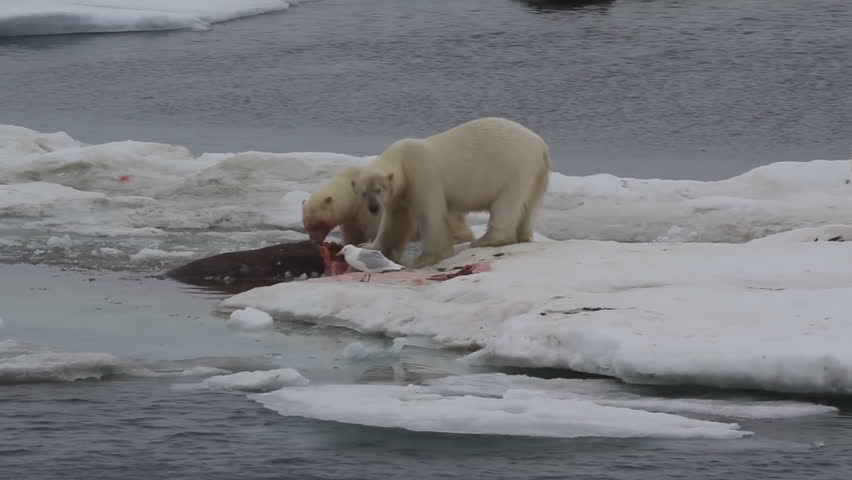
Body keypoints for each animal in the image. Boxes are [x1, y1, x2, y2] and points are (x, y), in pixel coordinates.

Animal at [302, 166, 475, 246]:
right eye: (306, 225)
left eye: (319, 224)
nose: (314, 242)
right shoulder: (352, 218)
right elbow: (353, 235)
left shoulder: (368, 211)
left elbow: (375, 231)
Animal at [353, 117, 550, 267]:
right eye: (363, 192)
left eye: (378, 190)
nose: (373, 208)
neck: (402, 158)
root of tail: (541, 145)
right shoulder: (400, 195)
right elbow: (395, 222)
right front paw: (369, 245)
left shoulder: (422, 174)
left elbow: (430, 215)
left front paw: (422, 259)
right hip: (536, 174)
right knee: (529, 205)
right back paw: (522, 235)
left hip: (513, 167)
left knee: (506, 203)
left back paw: (485, 240)